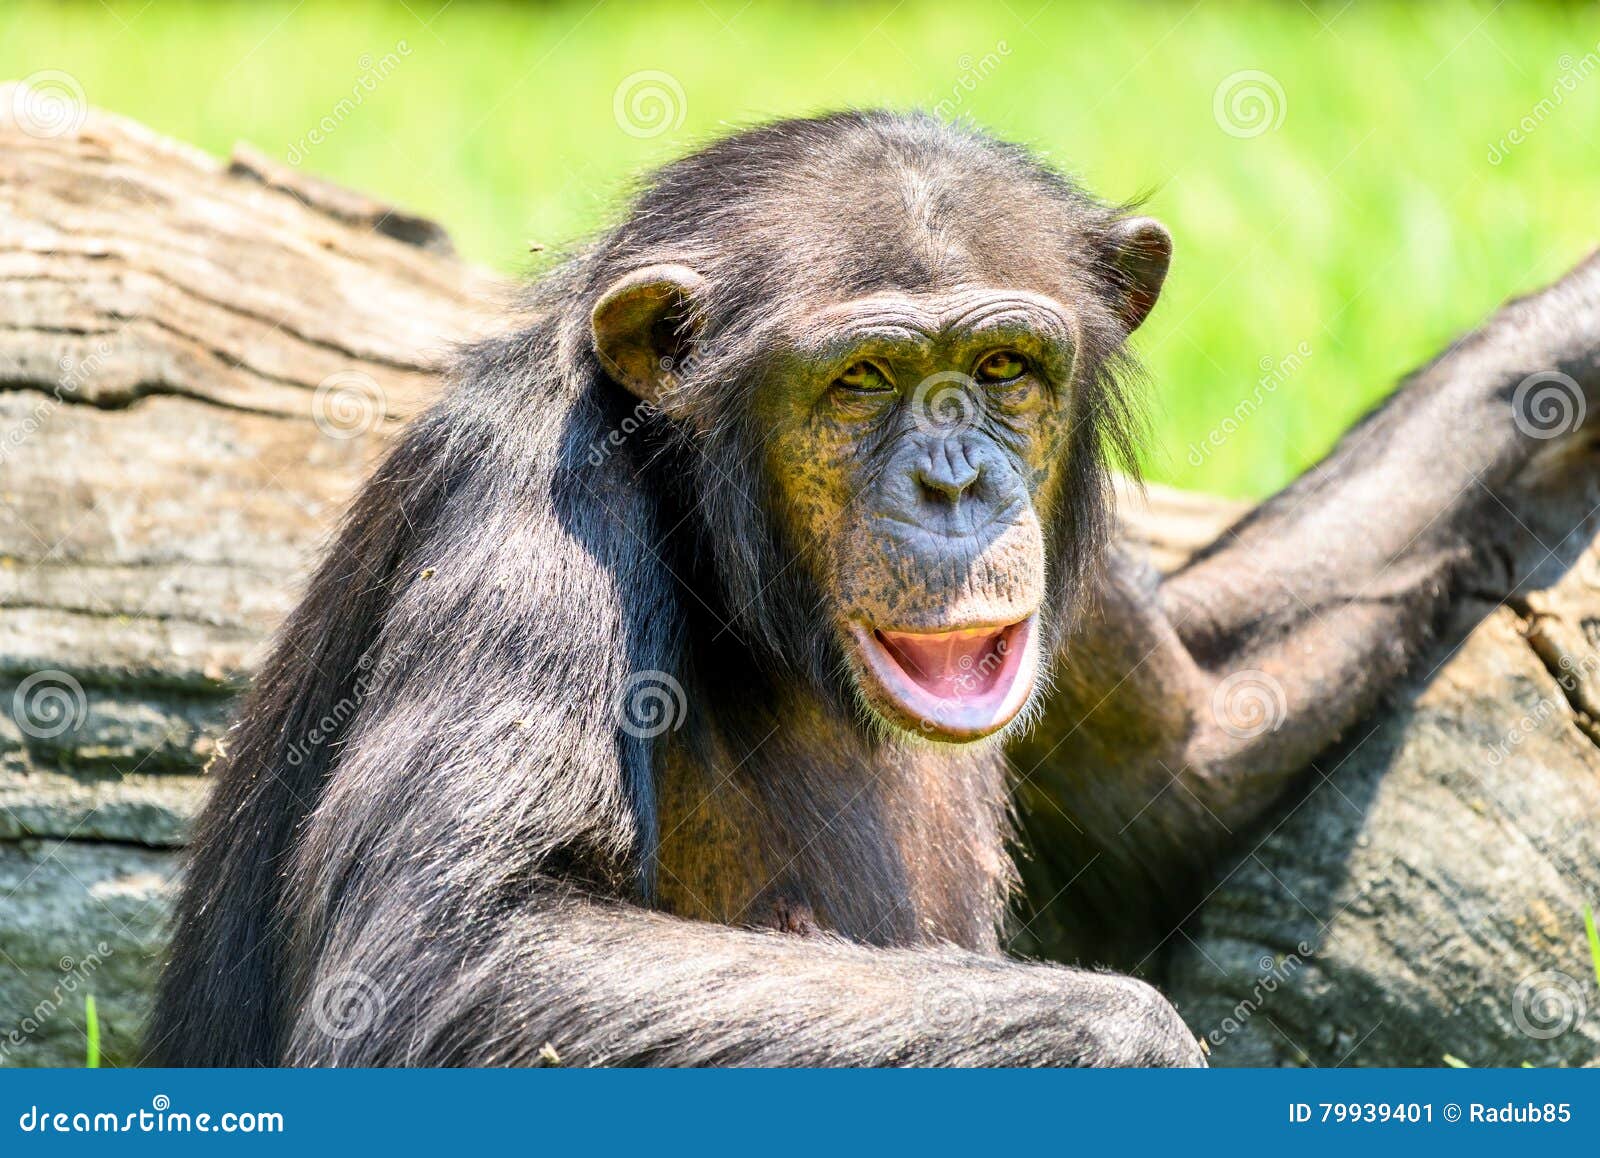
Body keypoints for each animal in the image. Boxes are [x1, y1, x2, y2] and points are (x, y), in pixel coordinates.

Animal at [146, 110, 1600, 1067]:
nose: (954, 480)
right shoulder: (536, 515)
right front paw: (1127, 1043)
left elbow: (1199, 734)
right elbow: (450, 957)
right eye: (860, 383)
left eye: (1005, 367)